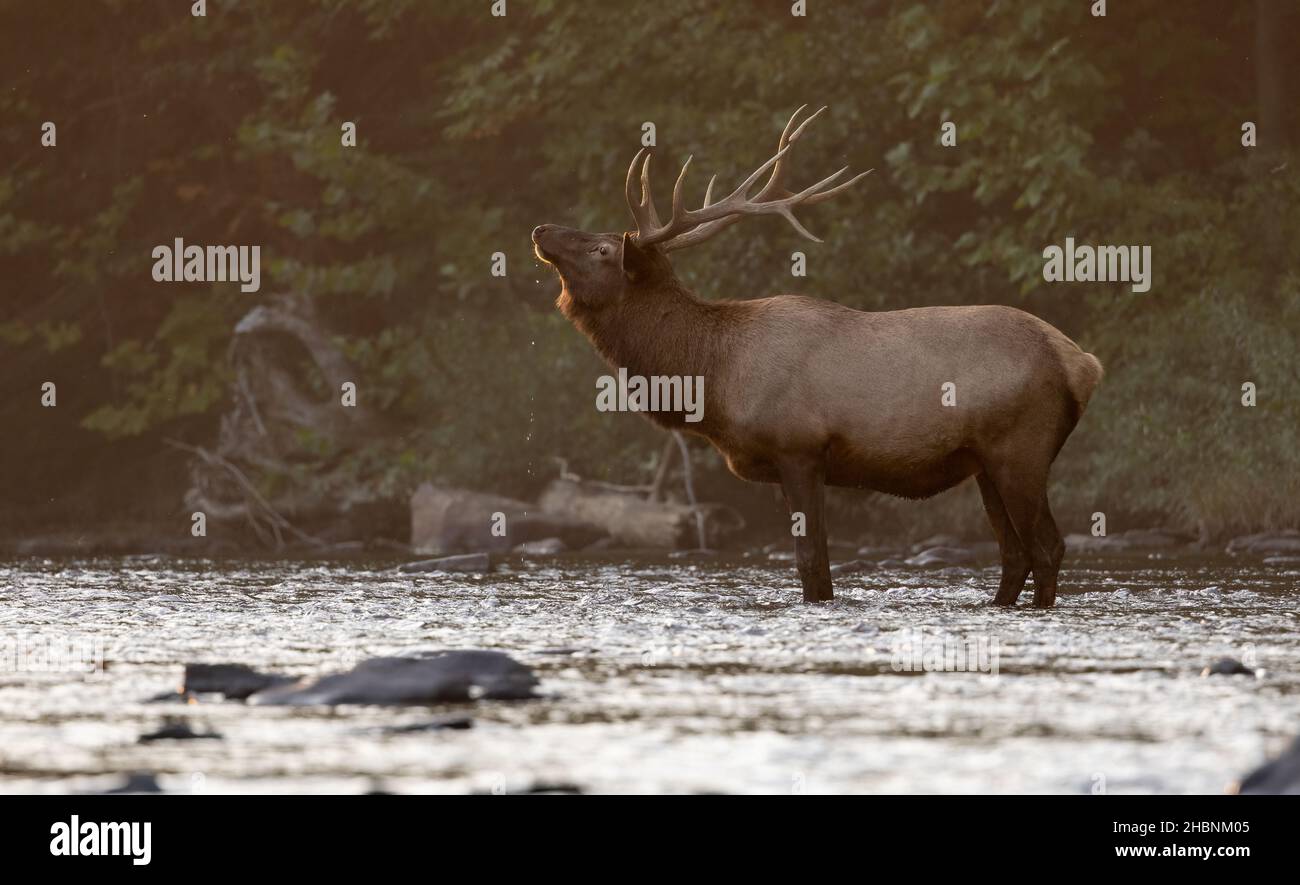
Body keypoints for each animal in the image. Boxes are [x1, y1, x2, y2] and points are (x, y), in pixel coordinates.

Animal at [532, 106, 1103, 606]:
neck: (713, 377)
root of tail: (1083, 363)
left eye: (603, 249)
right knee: (1014, 554)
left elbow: (813, 566)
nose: (540, 229)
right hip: (985, 462)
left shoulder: (800, 449)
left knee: (1046, 547)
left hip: (1021, 449)